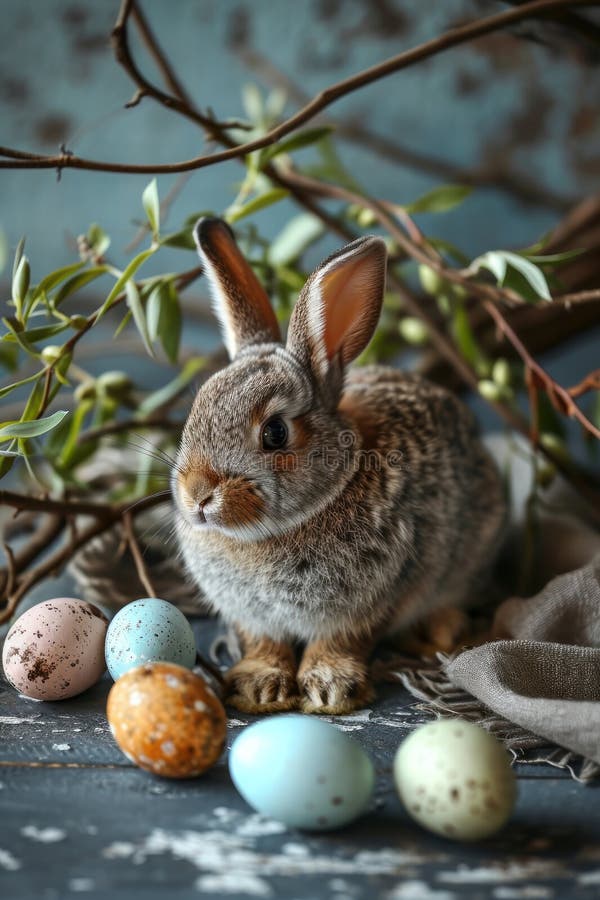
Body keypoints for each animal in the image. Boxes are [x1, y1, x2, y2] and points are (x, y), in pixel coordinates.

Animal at [172, 217, 506, 715]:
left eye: (275, 433)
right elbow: (263, 645)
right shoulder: (252, 617)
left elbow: (342, 642)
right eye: (195, 410)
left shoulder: (375, 600)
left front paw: (330, 688)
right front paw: (258, 686)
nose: (197, 494)